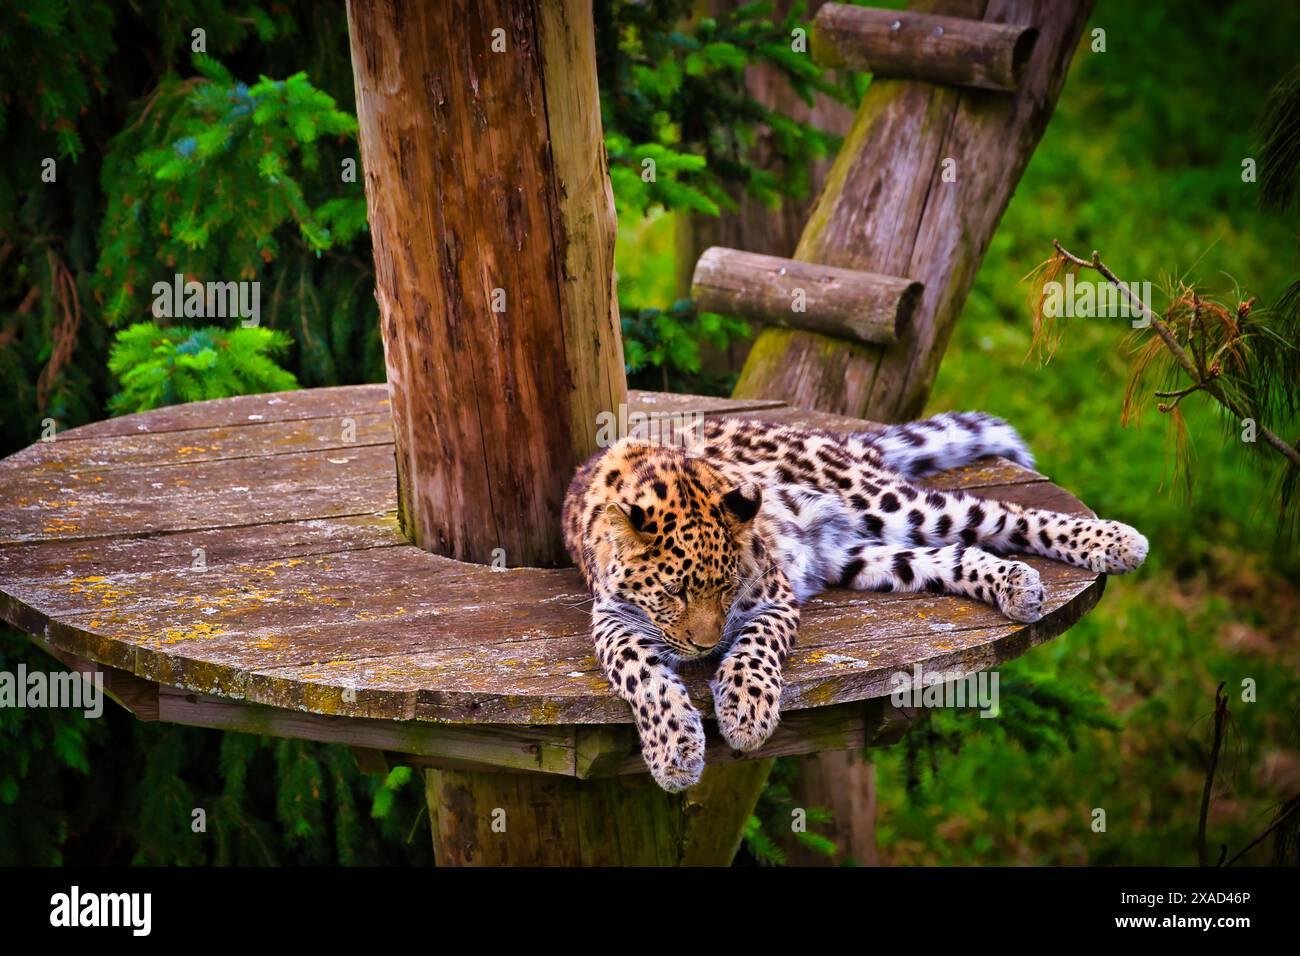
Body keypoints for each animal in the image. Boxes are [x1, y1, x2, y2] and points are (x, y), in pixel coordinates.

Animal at [561, 412, 1148, 792]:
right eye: (672, 591)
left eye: (727, 587)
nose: (705, 647)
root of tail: (830, 438)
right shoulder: (610, 620)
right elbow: (643, 675)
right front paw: (676, 750)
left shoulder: (773, 594)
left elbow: (753, 652)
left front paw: (745, 714)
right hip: (860, 555)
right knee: (951, 553)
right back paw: (1016, 584)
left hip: (882, 501)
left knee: (999, 514)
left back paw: (1116, 542)